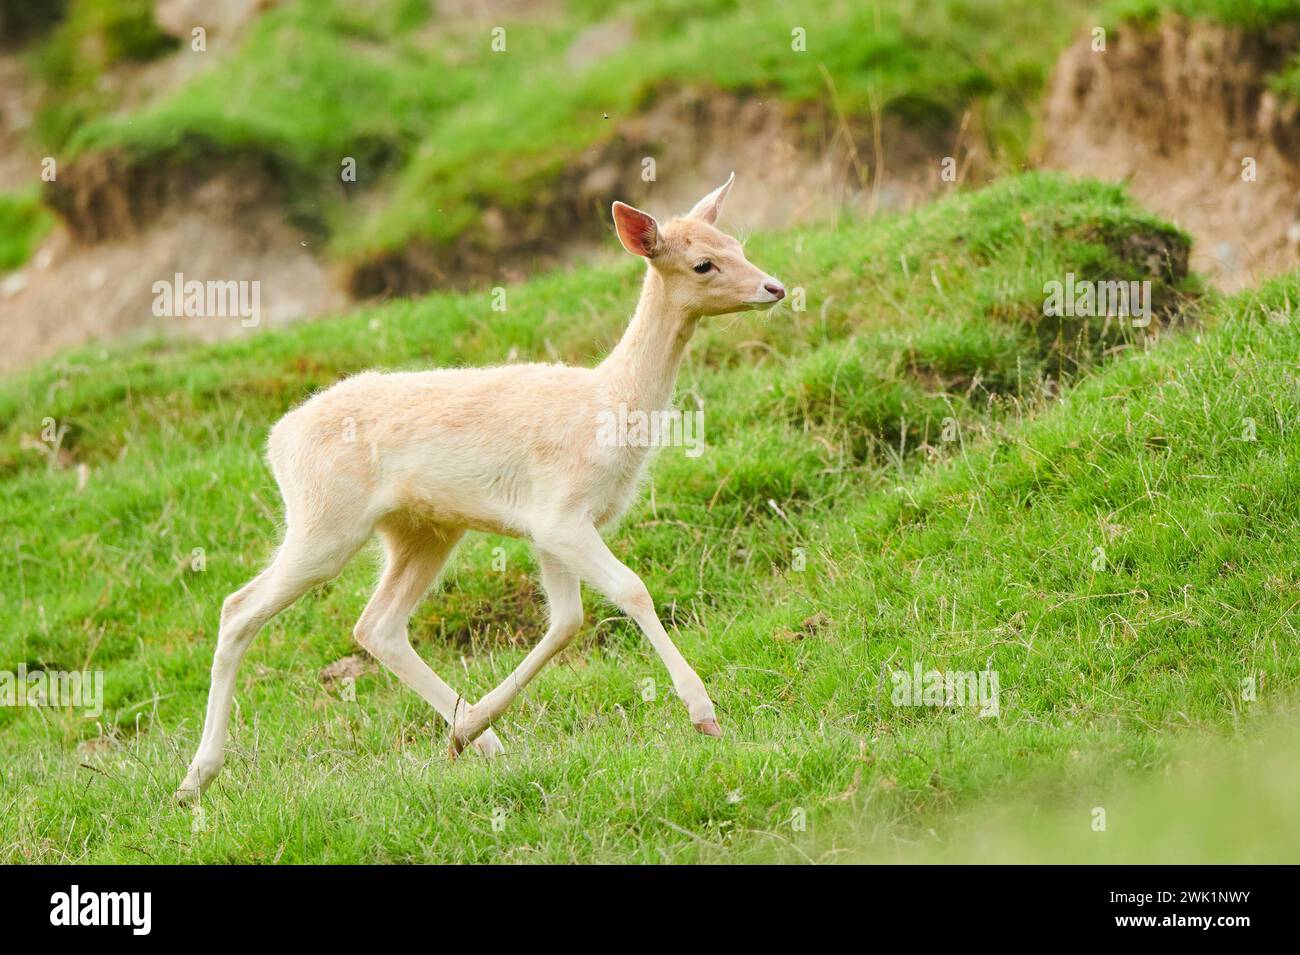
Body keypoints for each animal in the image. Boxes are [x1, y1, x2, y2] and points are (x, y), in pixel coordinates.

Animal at [176, 173, 785, 803]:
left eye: (737, 244)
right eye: (703, 264)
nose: (775, 287)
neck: (610, 407)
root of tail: (276, 440)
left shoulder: (550, 527)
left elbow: (566, 622)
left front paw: (470, 727)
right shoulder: (562, 512)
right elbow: (631, 590)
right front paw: (704, 714)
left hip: (422, 531)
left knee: (376, 625)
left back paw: (475, 737)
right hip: (324, 519)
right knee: (239, 608)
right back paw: (196, 778)